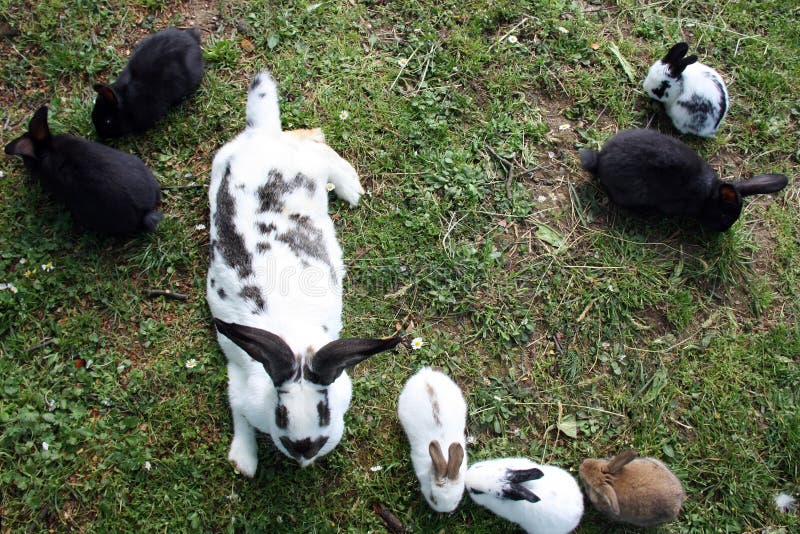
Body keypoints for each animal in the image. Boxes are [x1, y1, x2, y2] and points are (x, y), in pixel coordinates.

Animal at [206, 69, 396, 476]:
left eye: (324, 410)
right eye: (281, 414)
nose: (305, 450)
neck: (296, 345)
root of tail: (260, 134)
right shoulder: (239, 380)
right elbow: (239, 416)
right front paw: (244, 462)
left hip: (307, 164)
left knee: (316, 140)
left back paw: (351, 190)